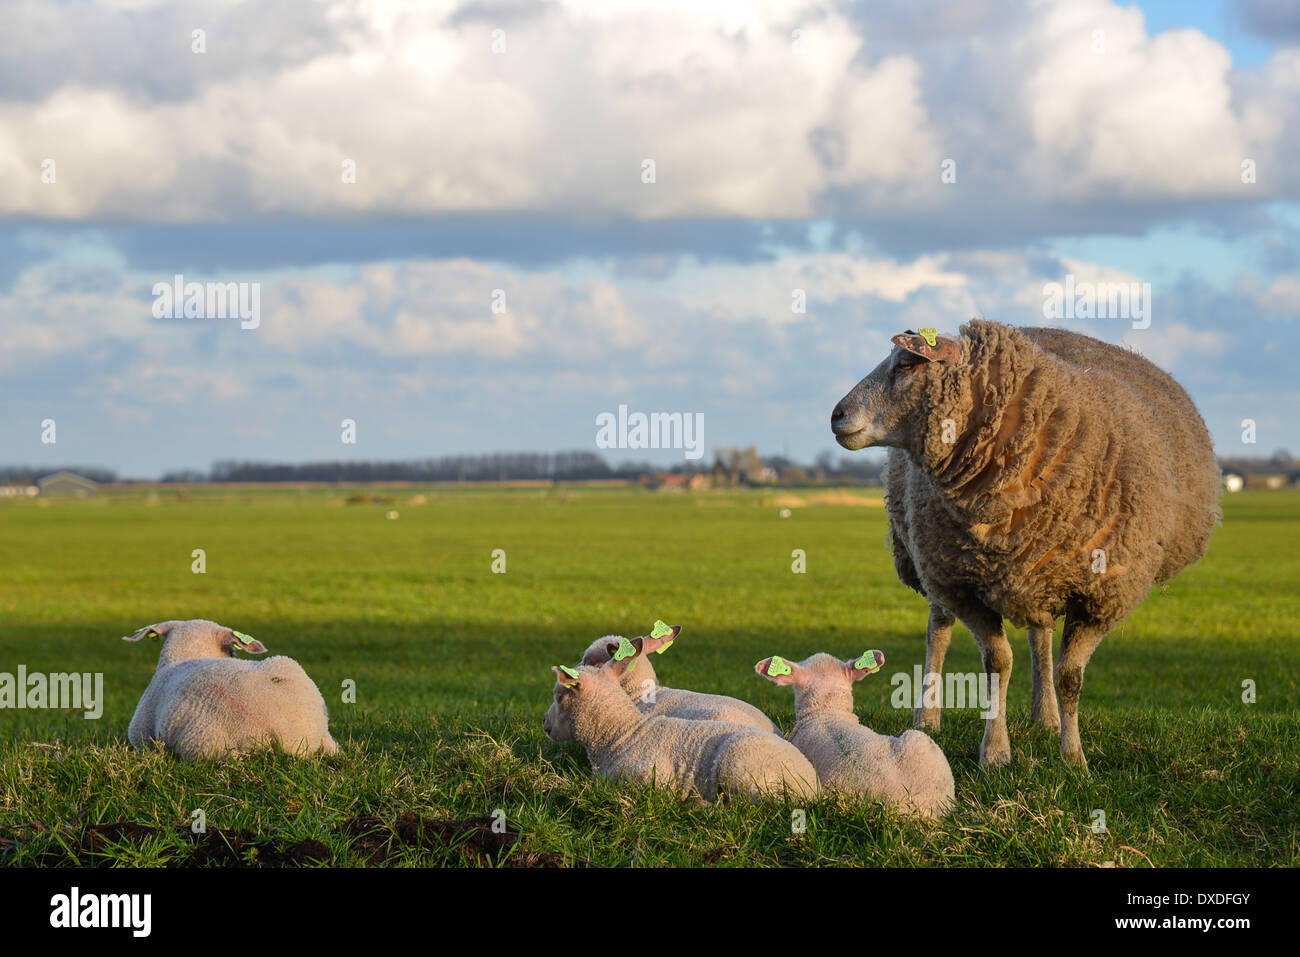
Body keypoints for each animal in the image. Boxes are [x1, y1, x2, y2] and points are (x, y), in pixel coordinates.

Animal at [831, 320, 1220, 769]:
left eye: (907, 364)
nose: (836, 415)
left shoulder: (1102, 596)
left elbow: (1070, 677)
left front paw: (1074, 759)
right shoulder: (964, 587)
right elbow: (997, 664)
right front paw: (996, 754)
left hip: (1039, 573)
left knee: (1041, 637)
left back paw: (1046, 718)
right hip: (934, 563)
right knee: (938, 631)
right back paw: (927, 718)